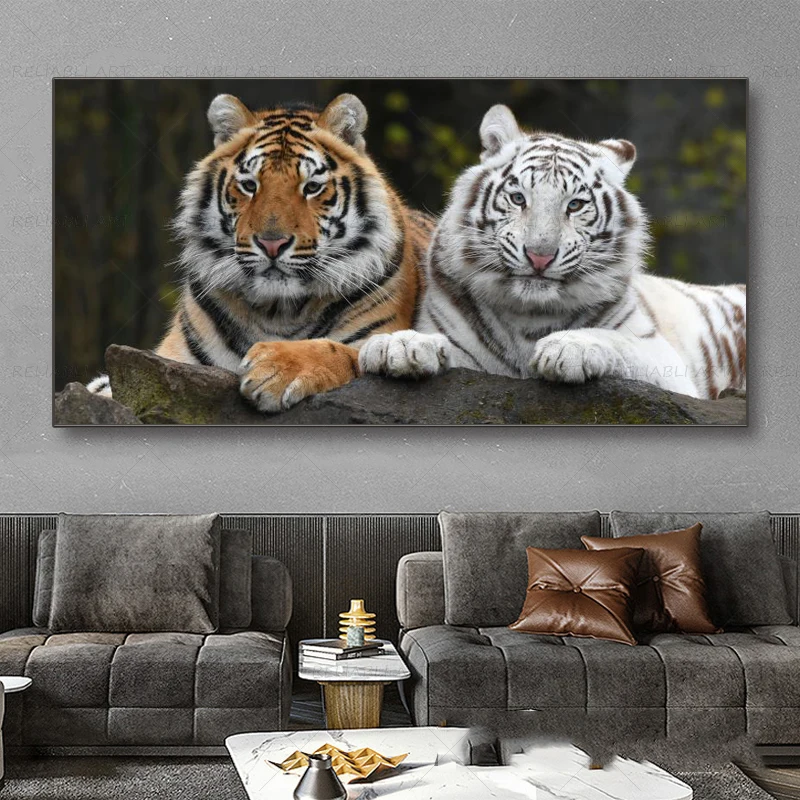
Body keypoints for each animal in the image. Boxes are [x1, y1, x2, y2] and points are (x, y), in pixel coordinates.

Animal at [87, 93, 432, 412]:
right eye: (250, 185)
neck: (277, 311)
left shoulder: (379, 334)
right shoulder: (173, 358)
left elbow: (341, 352)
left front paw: (274, 371)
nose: (272, 244)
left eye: (312, 187)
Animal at [359, 104, 746, 401]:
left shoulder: (666, 364)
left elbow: (615, 339)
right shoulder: (464, 348)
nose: (540, 256)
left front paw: (566, 349)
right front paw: (397, 346)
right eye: (518, 198)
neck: (527, 316)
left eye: (575, 205)